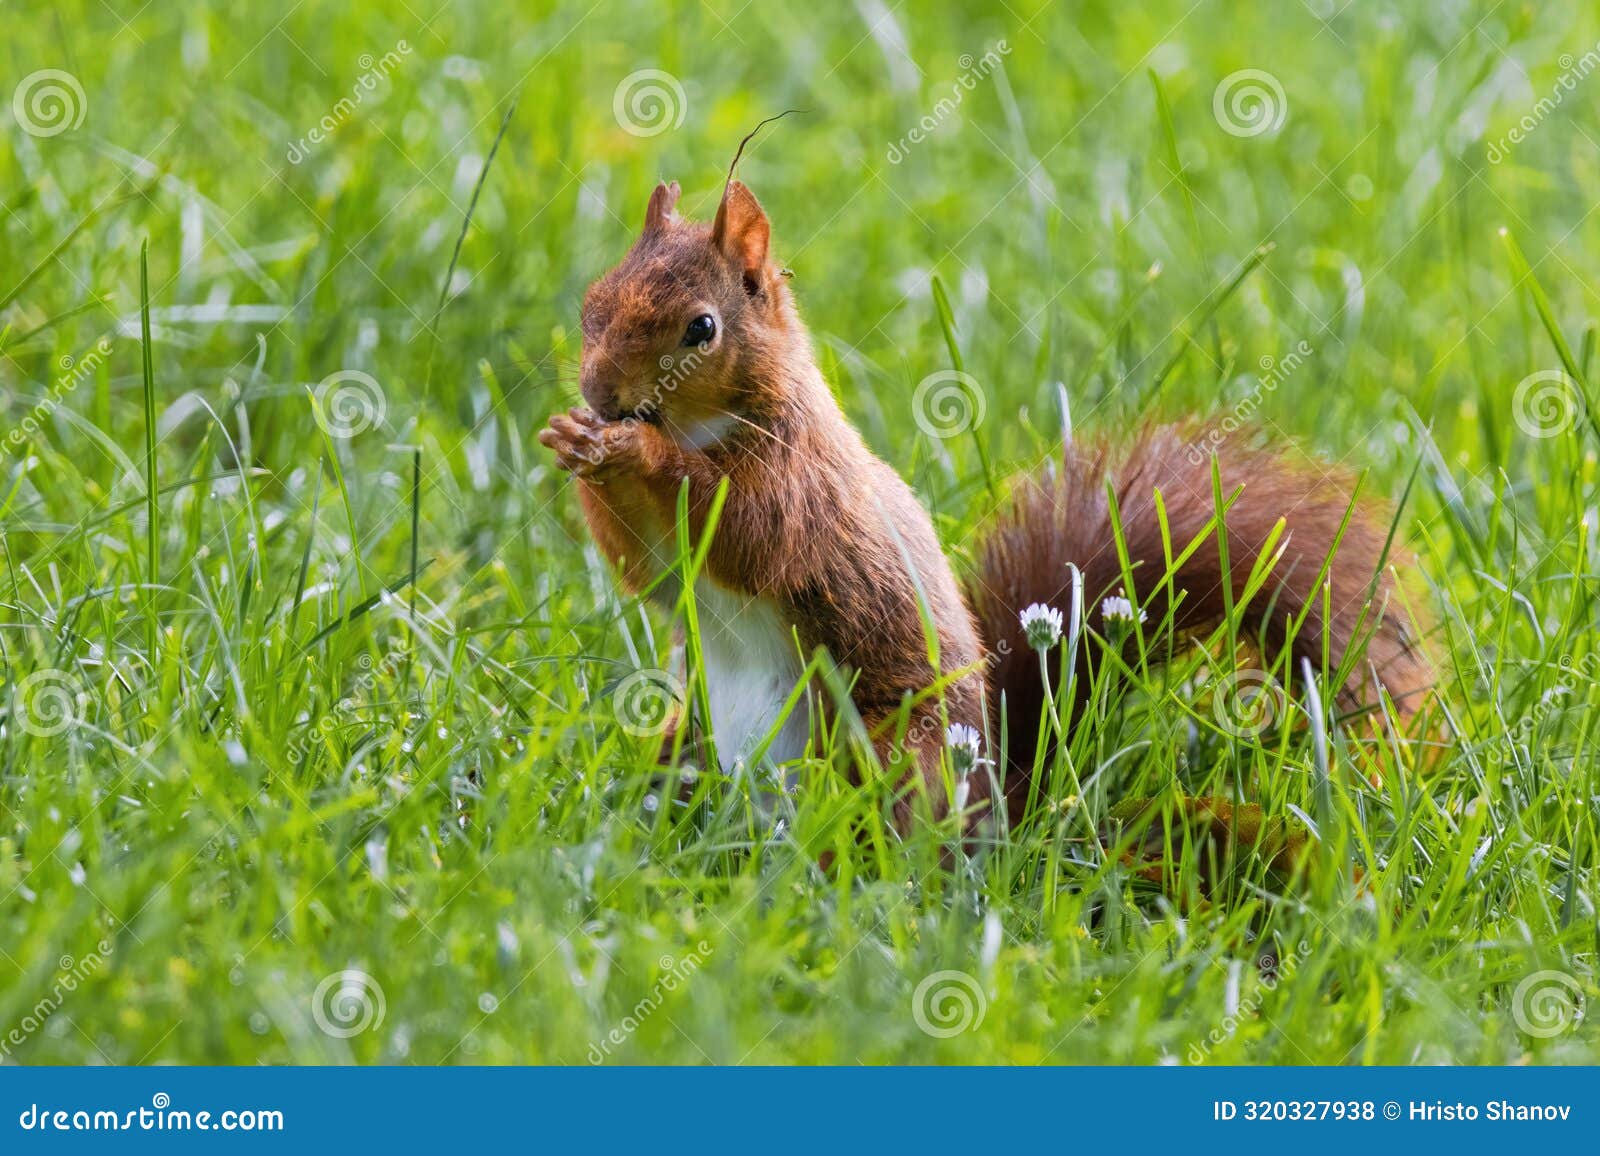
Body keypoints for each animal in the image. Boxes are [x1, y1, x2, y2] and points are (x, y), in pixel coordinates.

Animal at [539, 177, 1432, 830]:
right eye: (592, 301)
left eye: (702, 329)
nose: (601, 394)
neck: (707, 426)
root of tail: (997, 810)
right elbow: (652, 574)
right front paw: (576, 443)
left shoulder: (799, 489)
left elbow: (738, 530)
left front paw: (632, 451)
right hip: (686, 741)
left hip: (893, 748)